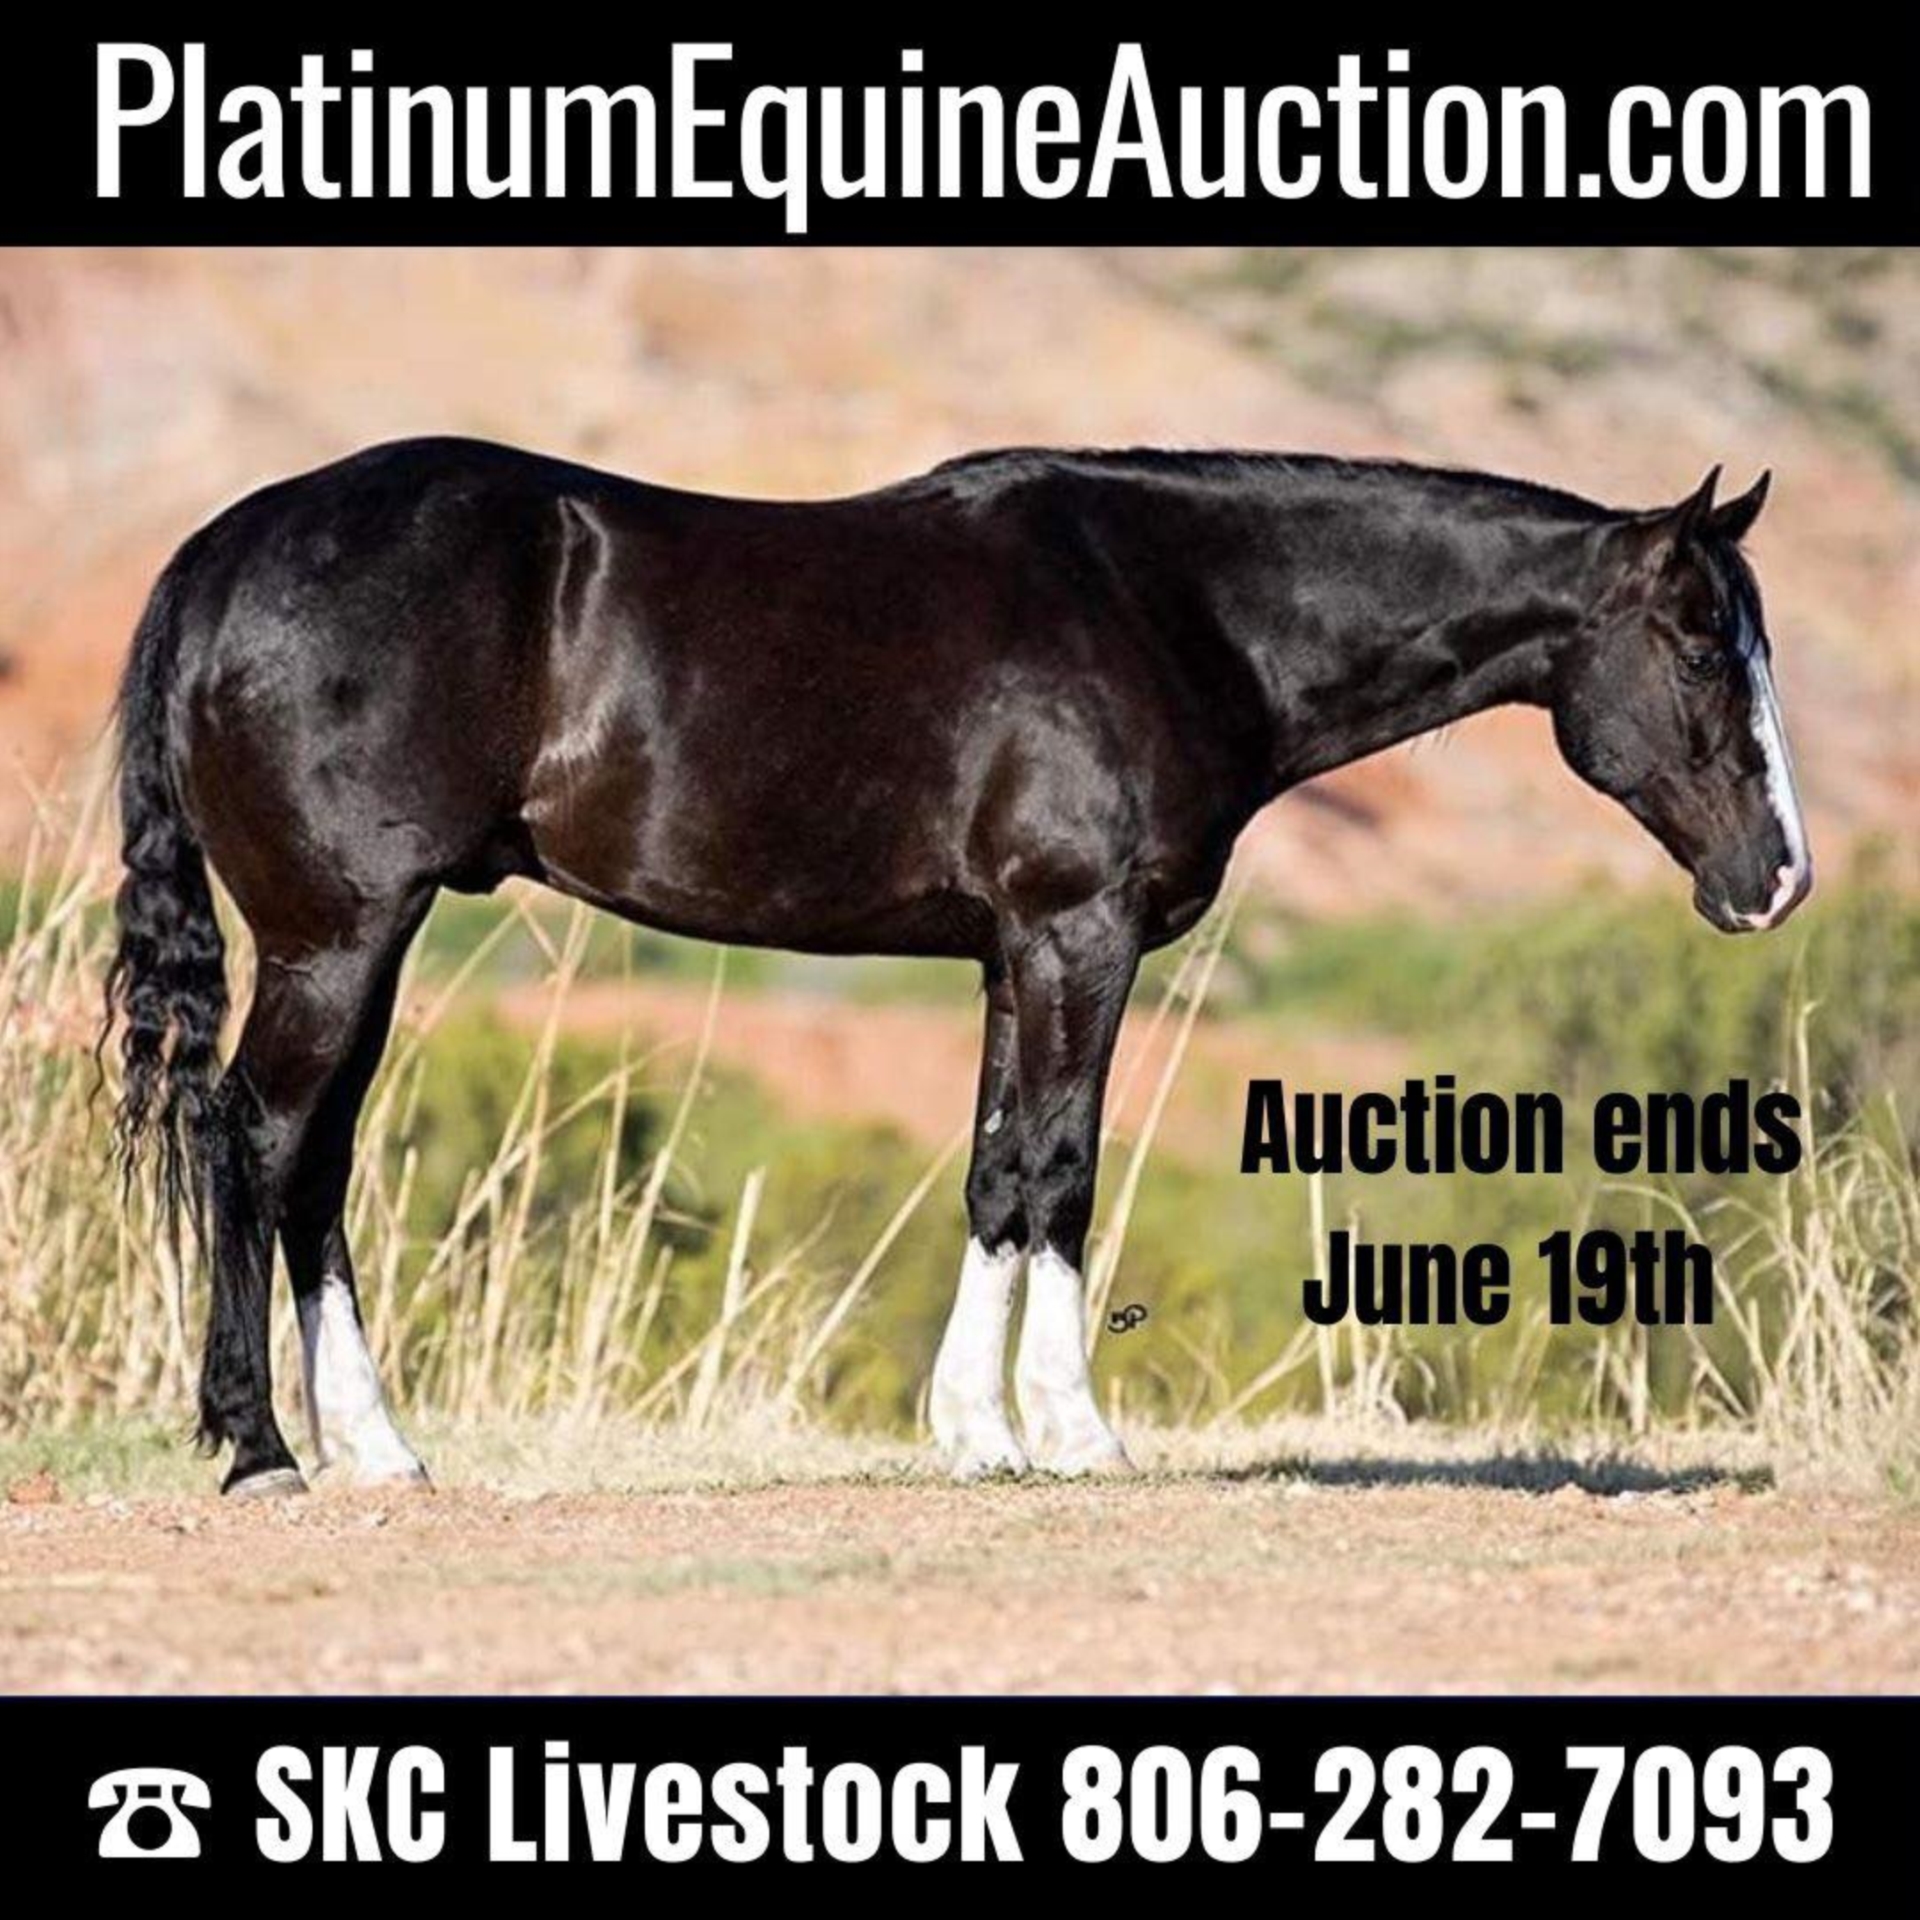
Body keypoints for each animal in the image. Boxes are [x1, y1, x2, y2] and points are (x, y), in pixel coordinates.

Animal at [102, 439, 1810, 1494]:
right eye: (1702, 646)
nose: (1778, 879)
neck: (1178, 606)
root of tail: (219, 554)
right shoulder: (1077, 932)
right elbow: (1060, 1169)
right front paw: (1067, 1431)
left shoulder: (1011, 954)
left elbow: (995, 1170)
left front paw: (973, 1429)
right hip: (337, 938)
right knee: (254, 1138)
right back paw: (261, 1448)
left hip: (359, 945)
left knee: (311, 1164)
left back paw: (375, 1449)